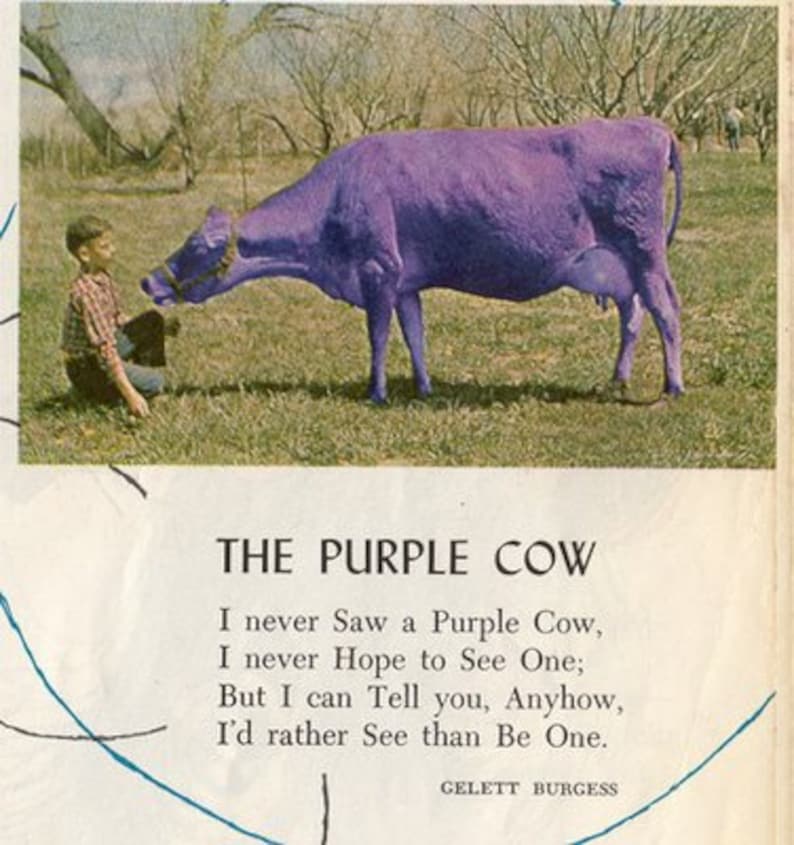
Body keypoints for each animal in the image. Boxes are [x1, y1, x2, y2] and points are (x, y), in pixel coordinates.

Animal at [141, 117, 683, 404]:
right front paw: (423, 387)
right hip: (618, 267)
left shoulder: (377, 272)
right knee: (633, 314)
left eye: (197, 246)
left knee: (666, 312)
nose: (149, 281)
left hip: (645, 253)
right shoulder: (405, 284)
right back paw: (618, 378)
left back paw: (672, 386)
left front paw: (376, 392)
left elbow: (379, 336)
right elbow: (414, 334)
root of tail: (652, 126)